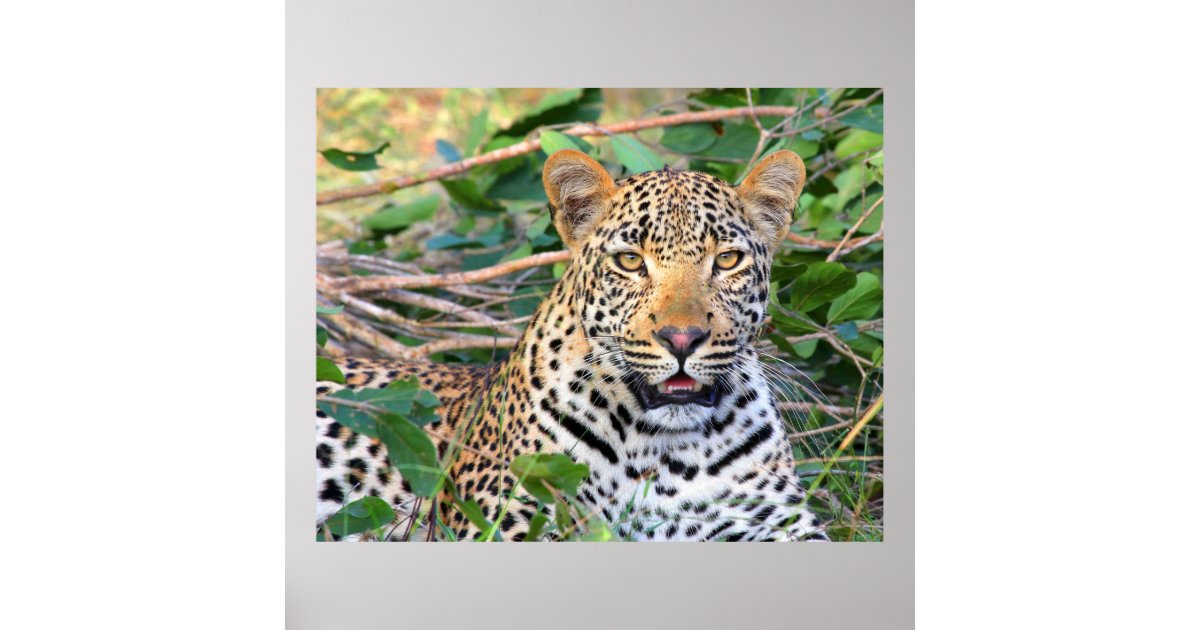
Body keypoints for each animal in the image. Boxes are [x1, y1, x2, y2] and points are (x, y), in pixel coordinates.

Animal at [316, 149, 829, 541]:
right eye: (630, 261)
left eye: (727, 260)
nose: (681, 338)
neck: (663, 453)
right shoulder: (508, 521)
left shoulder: (776, 524)